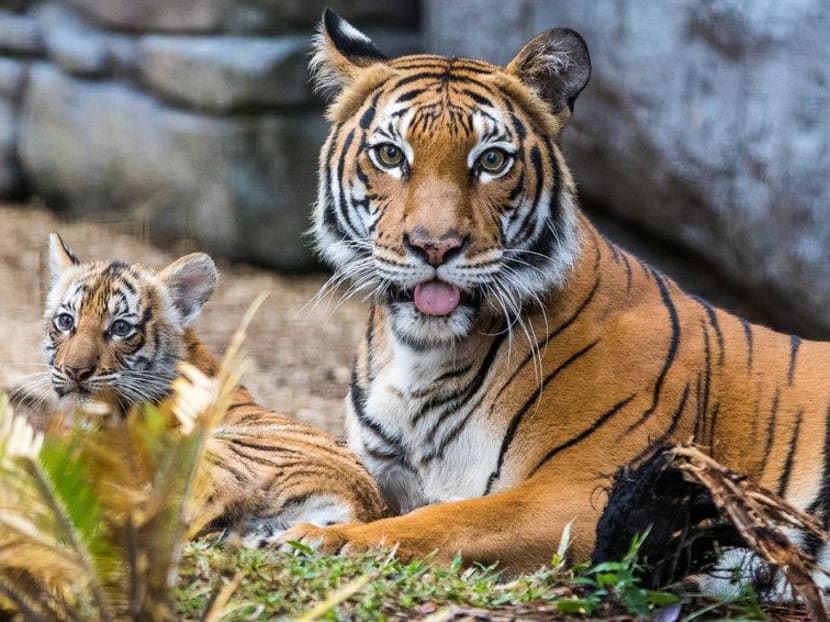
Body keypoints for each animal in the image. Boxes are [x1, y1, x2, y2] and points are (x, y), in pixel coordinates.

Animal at [277, 9, 830, 591]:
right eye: (389, 154)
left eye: (491, 161)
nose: (435, 246)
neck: (422, 355)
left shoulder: (592, 494)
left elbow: (448, 519)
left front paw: (324, 540)